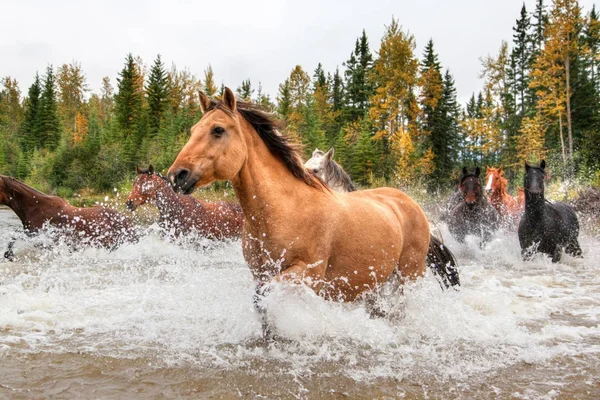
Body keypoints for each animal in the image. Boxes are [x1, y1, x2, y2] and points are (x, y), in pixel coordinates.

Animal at [166, 87, 458, 338]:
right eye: (193, 130)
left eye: (217, 130)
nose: (176, 176)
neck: (284, 209)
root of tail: (412, 205)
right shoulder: (261, 273)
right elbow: (262, 308)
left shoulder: (306, 274)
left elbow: (263, 297)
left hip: (408, 277)